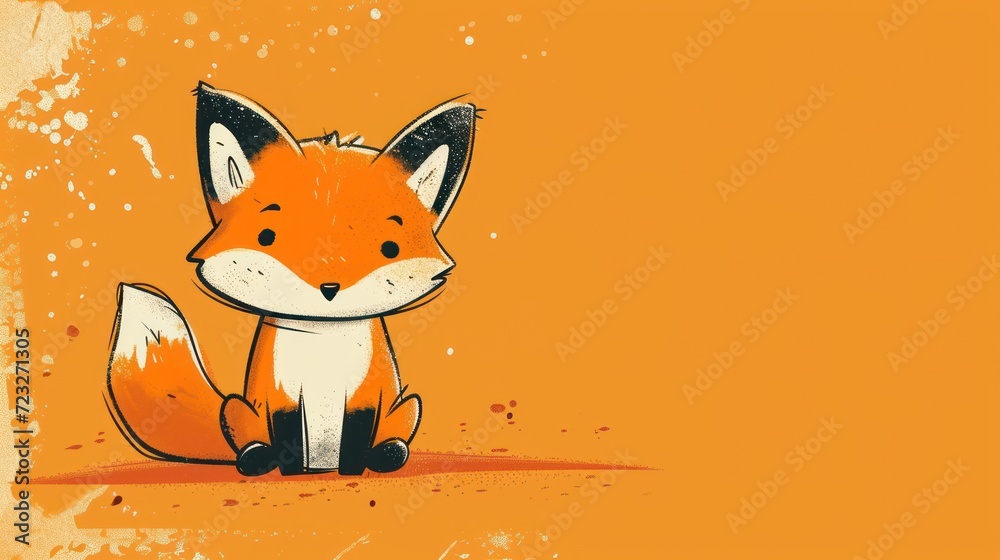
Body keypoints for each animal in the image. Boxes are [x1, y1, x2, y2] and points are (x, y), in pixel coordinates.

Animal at [104, 82, 477, 476]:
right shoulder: (279, 396)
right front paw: (292, 471)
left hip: (406, 407)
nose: (329, 289)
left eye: (389, 248)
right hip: (238, 407)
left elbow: (356, 438)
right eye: (267, 237)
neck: (322, 344)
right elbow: (289, 439)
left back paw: (386, 454)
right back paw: (255, 458)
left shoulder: (365, 398)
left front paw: (351, 471)